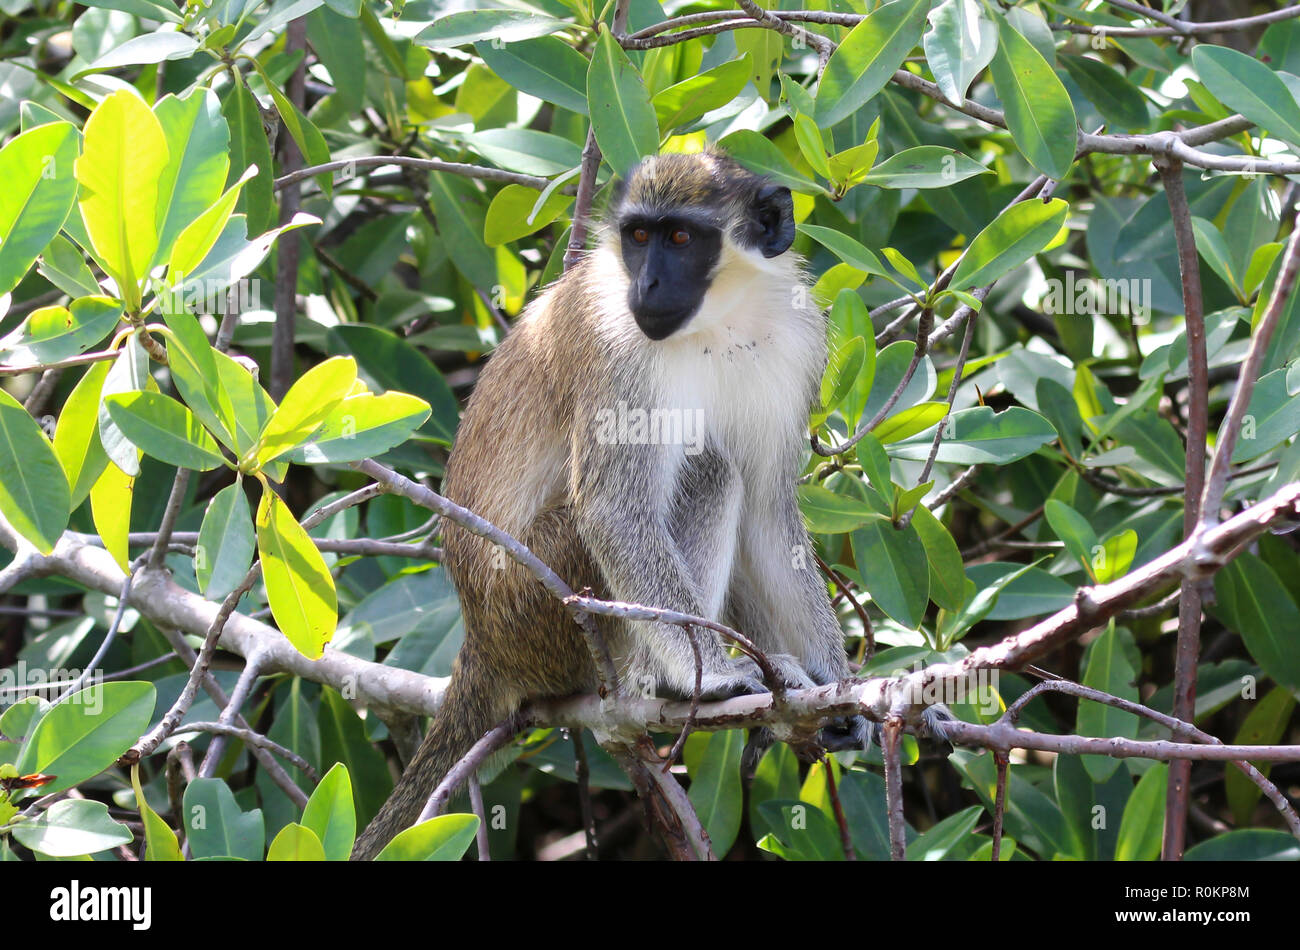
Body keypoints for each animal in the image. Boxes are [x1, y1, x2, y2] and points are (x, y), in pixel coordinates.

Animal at [352, 149, 886, 860]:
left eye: (680, 238)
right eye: (637, 236)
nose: (649, 287)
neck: (719, 322)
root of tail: (482, 644)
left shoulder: (797, 339)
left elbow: (772, 514)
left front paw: (836, 689)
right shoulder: (616, 349)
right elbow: (612, 509)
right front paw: (710, 679)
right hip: (542, 605)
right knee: (709, 472)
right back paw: (668, 680)